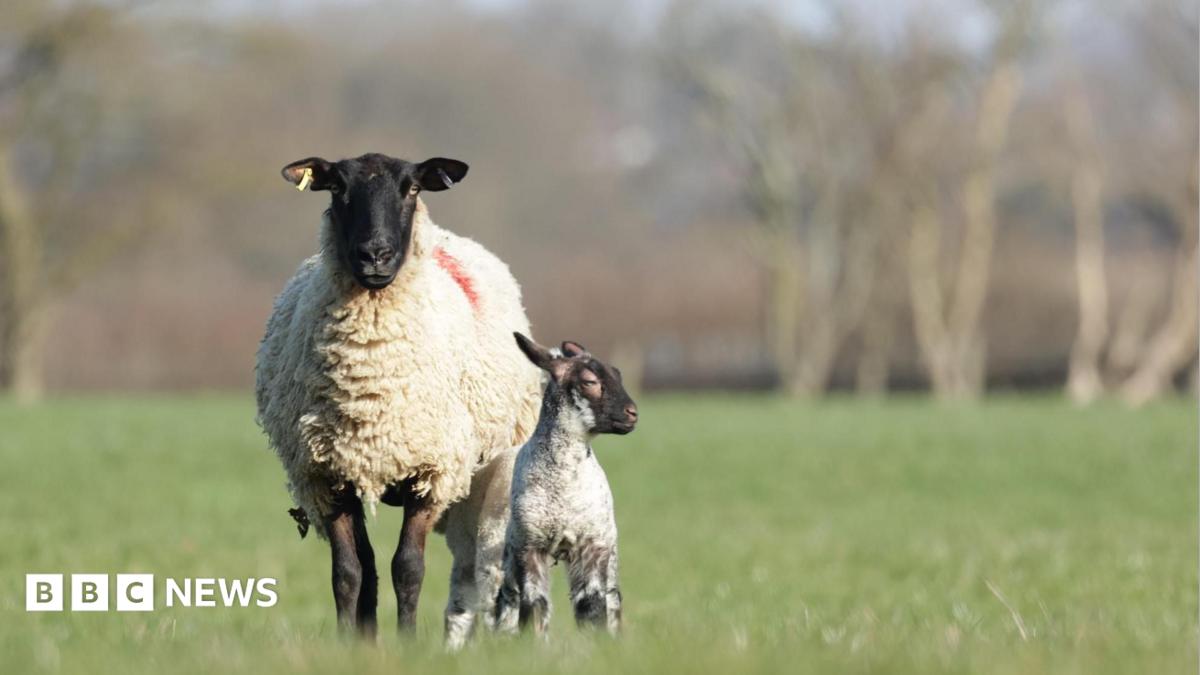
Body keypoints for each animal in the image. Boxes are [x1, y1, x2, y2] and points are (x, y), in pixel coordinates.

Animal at [255, 152, 542, 637]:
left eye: (412, 188)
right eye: (337, 187)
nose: (375, 254)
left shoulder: (431, 472)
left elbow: (407, 568)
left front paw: (408, 641)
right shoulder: (328, 475)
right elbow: (350, 571)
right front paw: (351, 644)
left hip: (494, 470)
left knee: (484, 558)